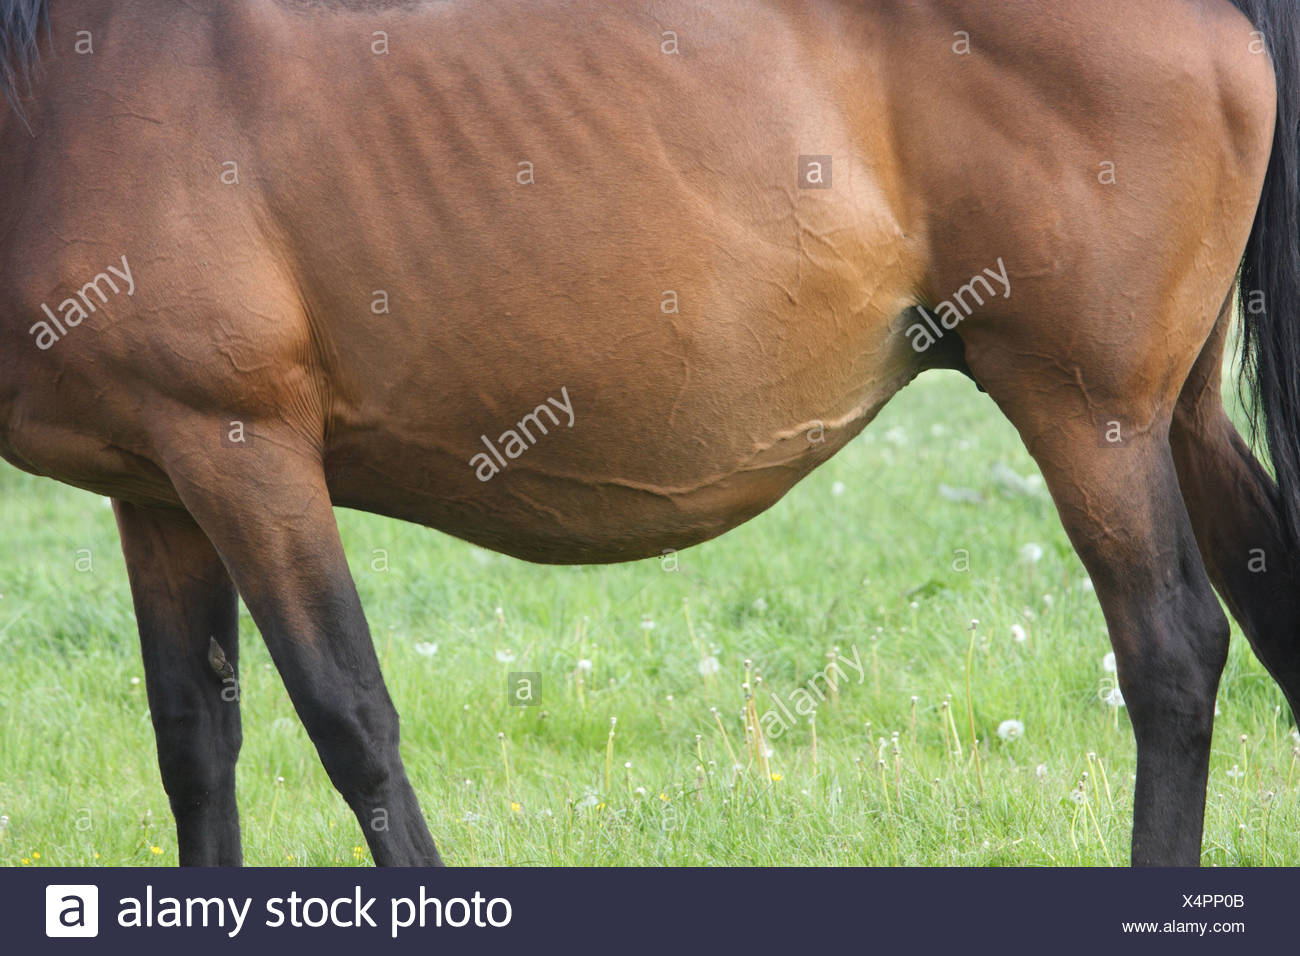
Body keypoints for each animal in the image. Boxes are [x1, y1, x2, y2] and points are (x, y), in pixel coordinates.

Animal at [1, 0, 1298, 867]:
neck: (62, 86)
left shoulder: (243, 450)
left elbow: (350, 720)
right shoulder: (159, 484)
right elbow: (194, 747)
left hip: (1089, 411)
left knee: (1172, 656)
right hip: (1169, 416)